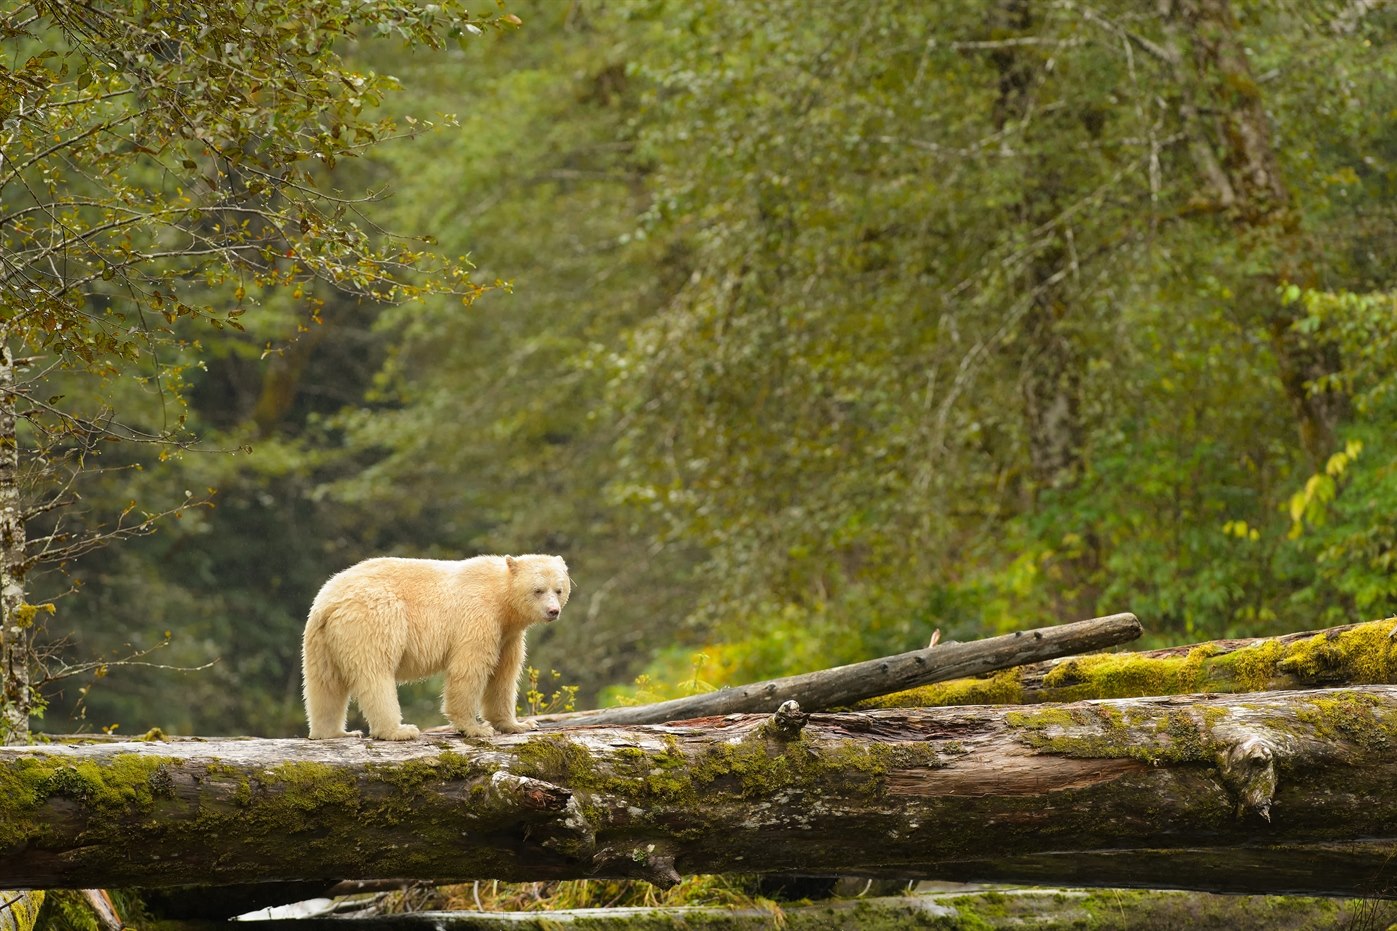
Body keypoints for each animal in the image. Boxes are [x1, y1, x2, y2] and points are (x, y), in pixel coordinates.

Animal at [301, 553, 570, 740]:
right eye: (538, 590)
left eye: (559, 589)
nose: (553, 611)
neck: (502, 600)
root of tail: (329, 602)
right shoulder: (478, 617)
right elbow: (469, 668)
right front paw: (476, 728)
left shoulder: (508, 635)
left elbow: (504, 675)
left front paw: (519, 724)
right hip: (374, 619)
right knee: (375, 674)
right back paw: (399, 730)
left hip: (321, 639)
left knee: (324, 683)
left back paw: (334, 732)